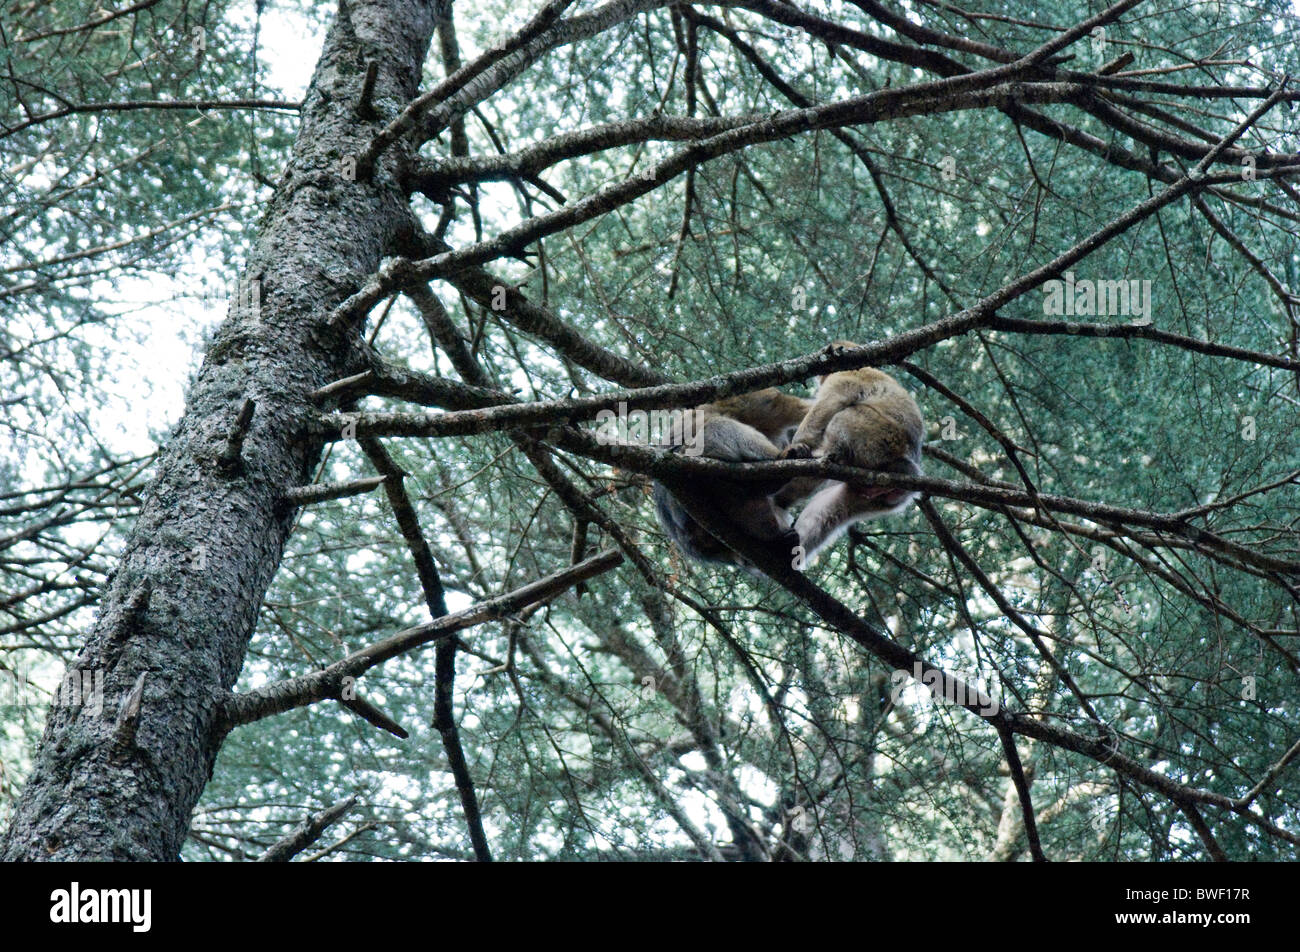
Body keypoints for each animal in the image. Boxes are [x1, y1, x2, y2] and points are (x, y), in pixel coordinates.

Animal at [778, 343, 924, 562]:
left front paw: (797, 445)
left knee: (846, 414)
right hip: (881, 498)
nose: (820, 378)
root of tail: (904, 464)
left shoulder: (845, 376)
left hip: (878, 440)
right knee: (835, 506)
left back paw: (828, 454)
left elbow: (831, 403)